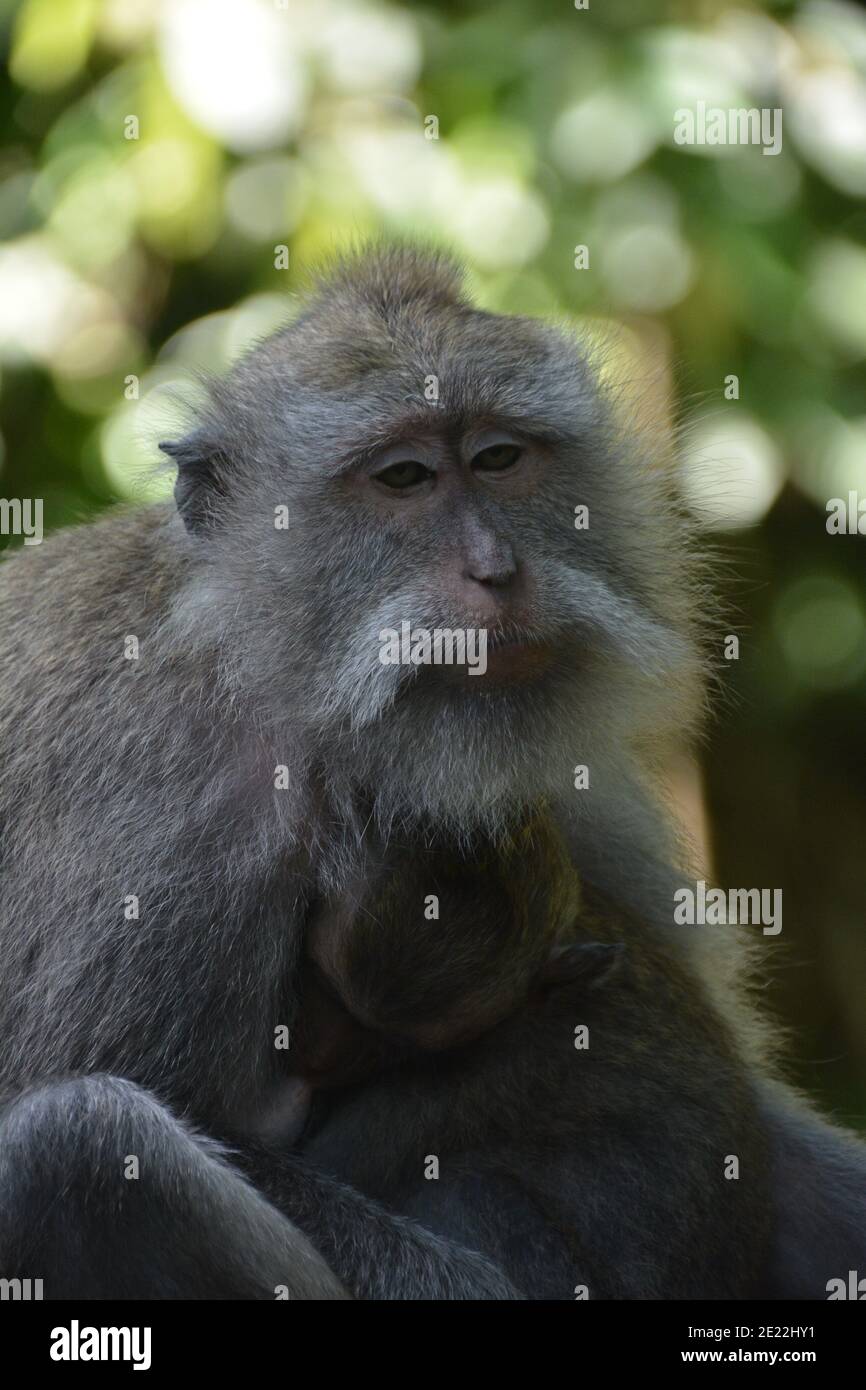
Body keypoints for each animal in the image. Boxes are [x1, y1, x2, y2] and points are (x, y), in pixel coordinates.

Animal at [0, 244, 864, 1299]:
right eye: (404, 477)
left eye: (499, 459)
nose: (497, 570)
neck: (291, 676)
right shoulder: (176, 823)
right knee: (76, 1144)